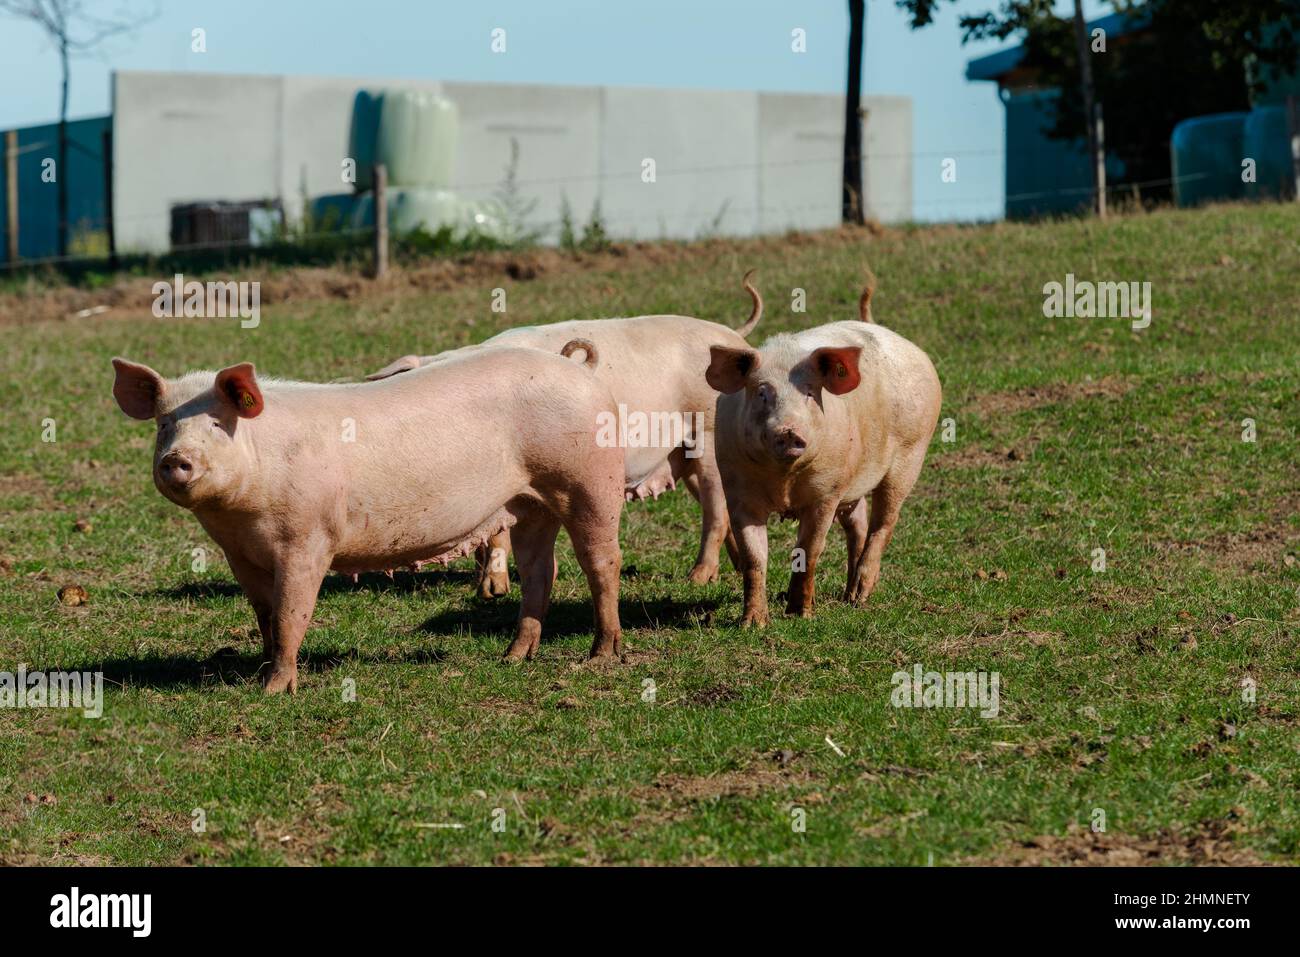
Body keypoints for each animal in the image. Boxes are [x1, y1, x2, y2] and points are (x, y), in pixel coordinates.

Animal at [110, 344, 625, 693]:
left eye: (218, 424)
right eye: (164, 425)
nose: (176, 459)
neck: (241, 515)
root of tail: (581, 370)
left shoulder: (308, 538)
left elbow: (292, 613)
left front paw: (275, 690)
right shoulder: (239, 554)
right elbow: (265, 615)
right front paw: (260, 672)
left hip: (589, 481)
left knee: (602, 562)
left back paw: (599, 658)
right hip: (530, 504)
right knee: (542, 571)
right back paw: (512, 659)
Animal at [366, 272, 764, 598]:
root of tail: (733, 336)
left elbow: (496, 532)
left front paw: (492, 592)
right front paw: (484, 587)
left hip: (706, 435)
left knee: (715, 511)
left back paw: (697, 578)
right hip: (681, 451)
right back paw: (732, 568)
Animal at [704, 284, 941, 626]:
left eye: (809, 393)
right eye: (762, 393)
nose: (788, 430)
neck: (784, 480)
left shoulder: (826, 492)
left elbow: (810, 550)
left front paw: (801, 615)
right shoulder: (738, 491)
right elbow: (754, 558)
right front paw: (752, 624)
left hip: (911, 454)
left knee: (884, 522)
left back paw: (860, 597)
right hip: (852, 481)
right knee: (858, 524)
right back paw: (847, 597)